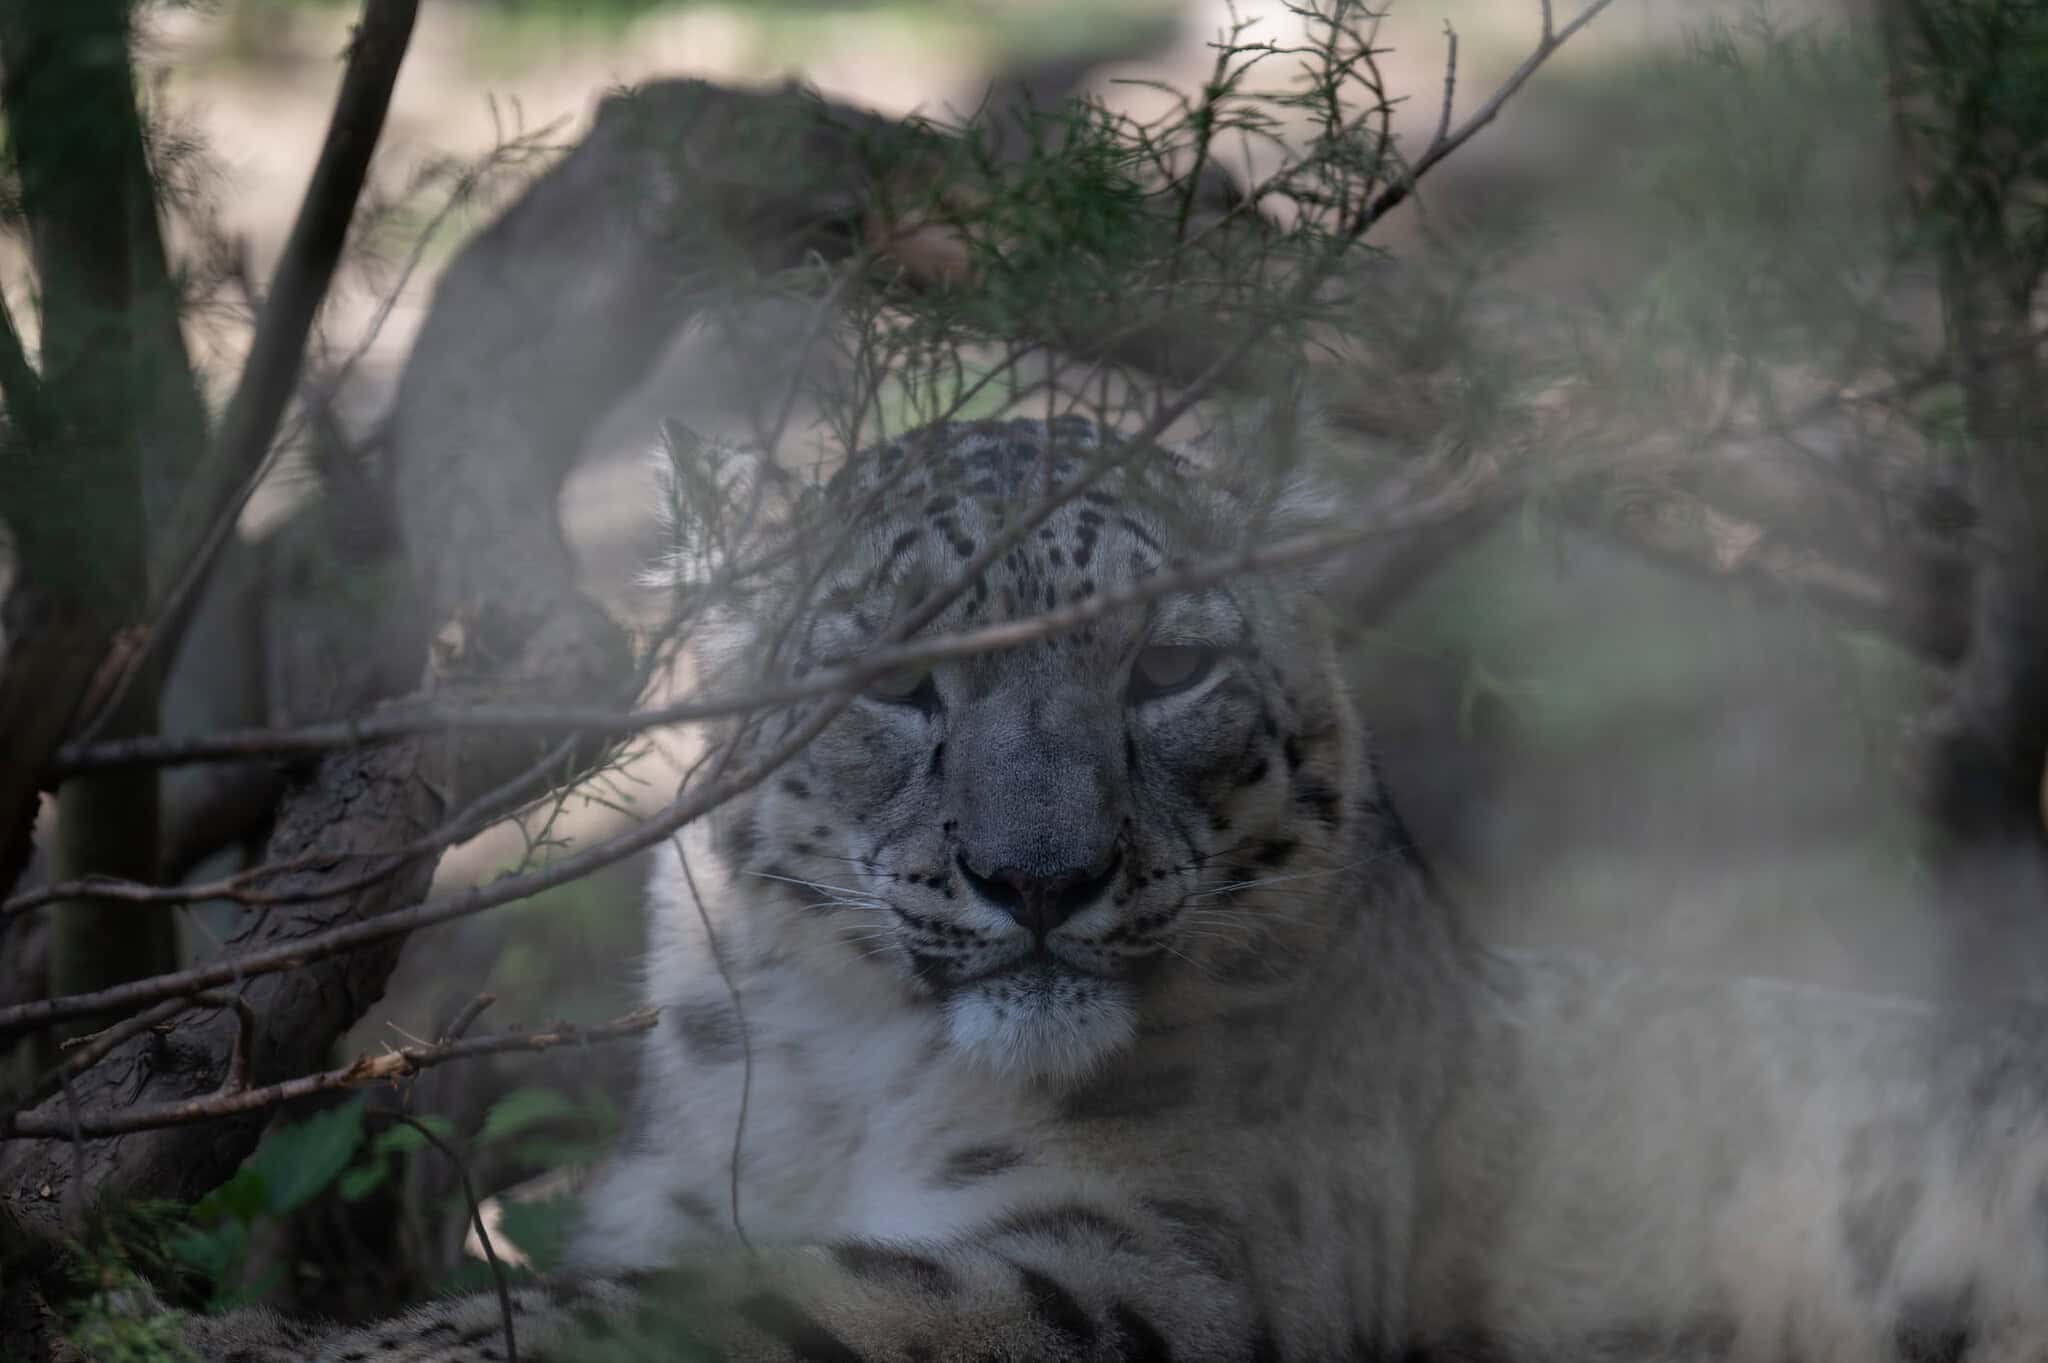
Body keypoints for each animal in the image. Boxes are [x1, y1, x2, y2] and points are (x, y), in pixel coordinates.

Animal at [171, 414, 2048, 1363]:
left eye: (1166, 666)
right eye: (901, 678)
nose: (1041, 873)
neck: (831, 1091)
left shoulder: (1163, 1259)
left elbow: (765, 1299)